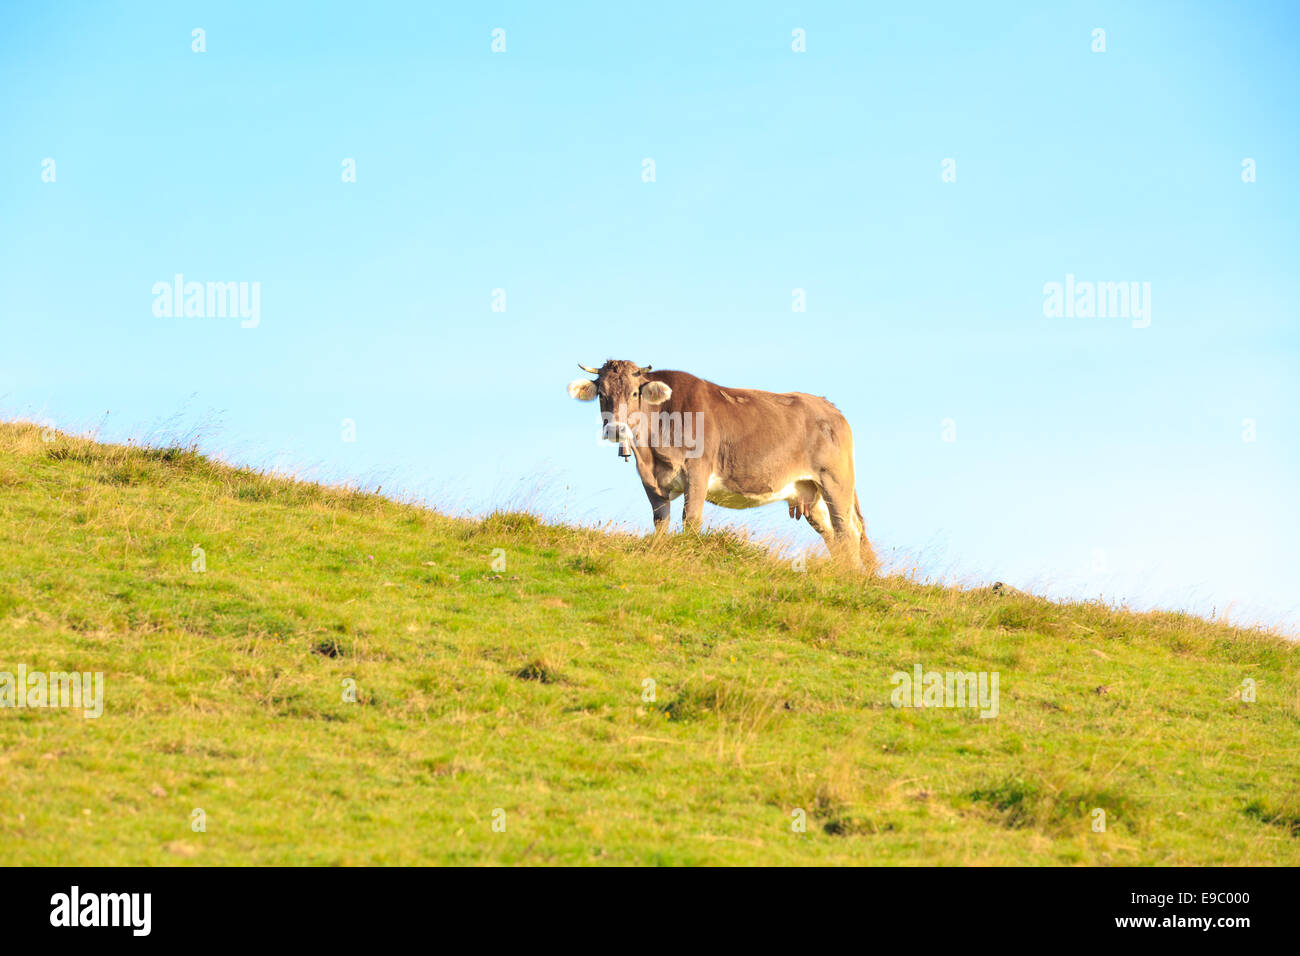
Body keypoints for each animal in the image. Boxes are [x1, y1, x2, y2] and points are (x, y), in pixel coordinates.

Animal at [568, 359, 877, 572]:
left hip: (835, 481)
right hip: (809, 492)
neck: (651, 451)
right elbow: (660, 520)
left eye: (634, 394)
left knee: (847, 531)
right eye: (602, 394)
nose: (616, 429)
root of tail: (830, 407)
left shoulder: (697, 471)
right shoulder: (650, 480)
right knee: (835, 536)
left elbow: (690, 519)